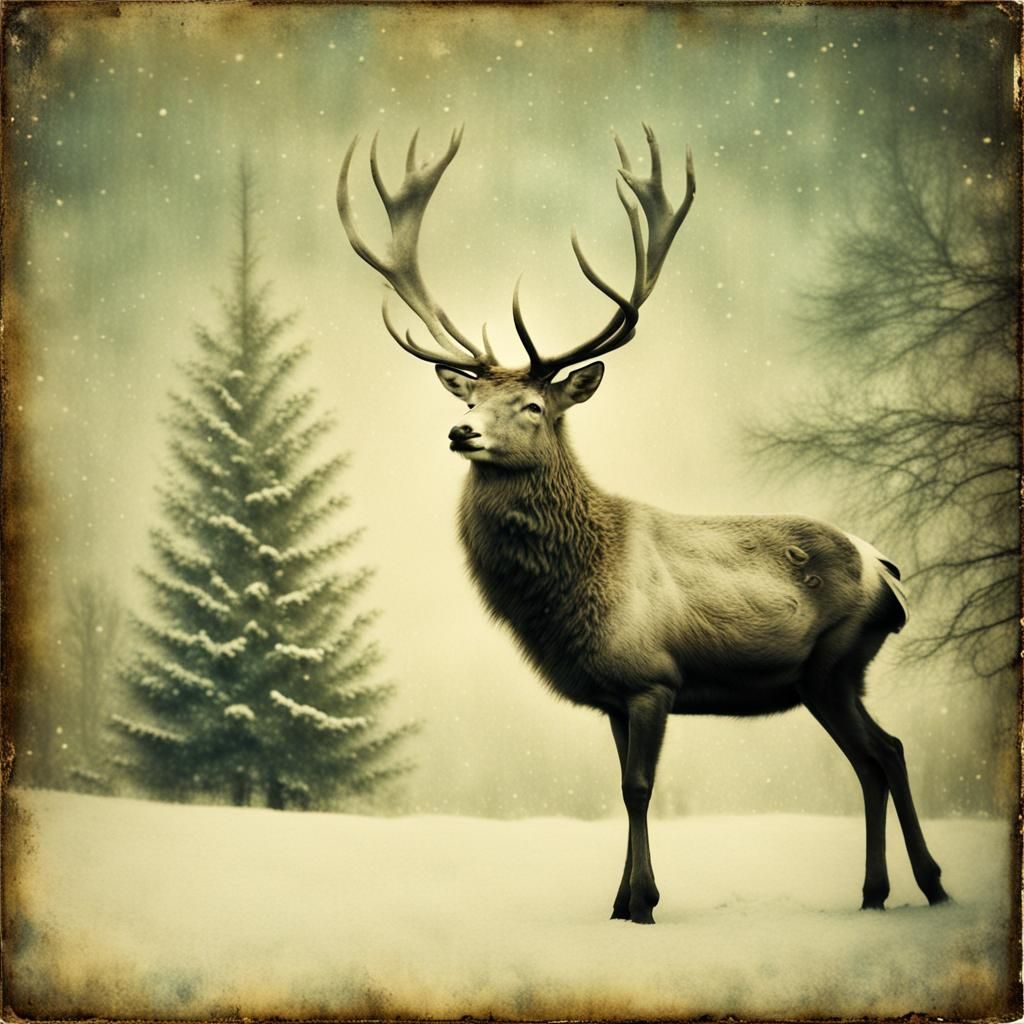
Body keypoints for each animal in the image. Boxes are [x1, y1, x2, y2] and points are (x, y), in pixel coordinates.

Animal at [335, 124, 949, 924]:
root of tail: (888, 569)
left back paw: (929, 883)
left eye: (532, 406)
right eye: (471, 400)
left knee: (886, 752)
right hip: (836, 676)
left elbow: (637, 789)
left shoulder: (654, 676)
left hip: (837, 660)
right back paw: (877, 892)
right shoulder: (612, 693)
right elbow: (619, 787)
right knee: (879, 756)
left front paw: (644, 903)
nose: (460, 432)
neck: (572, 594)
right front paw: (621, 902)